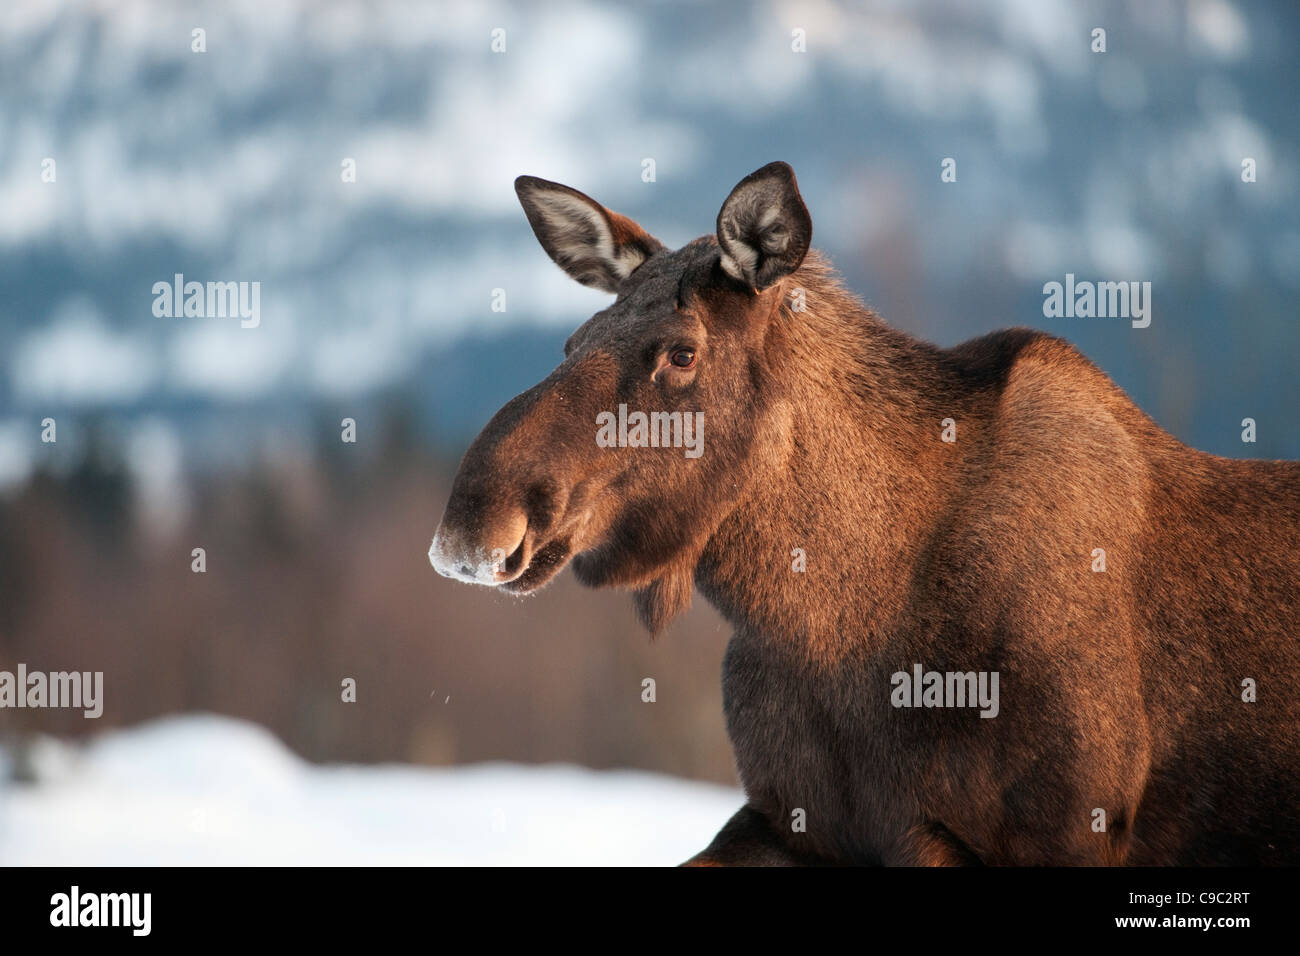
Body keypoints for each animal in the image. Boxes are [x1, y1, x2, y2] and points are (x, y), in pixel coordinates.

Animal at [430, 162, 1300, 865]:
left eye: (681, 351)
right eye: (574, 340)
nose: (471, 526)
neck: (840, 629)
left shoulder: (1065, 828)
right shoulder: (794, 821)